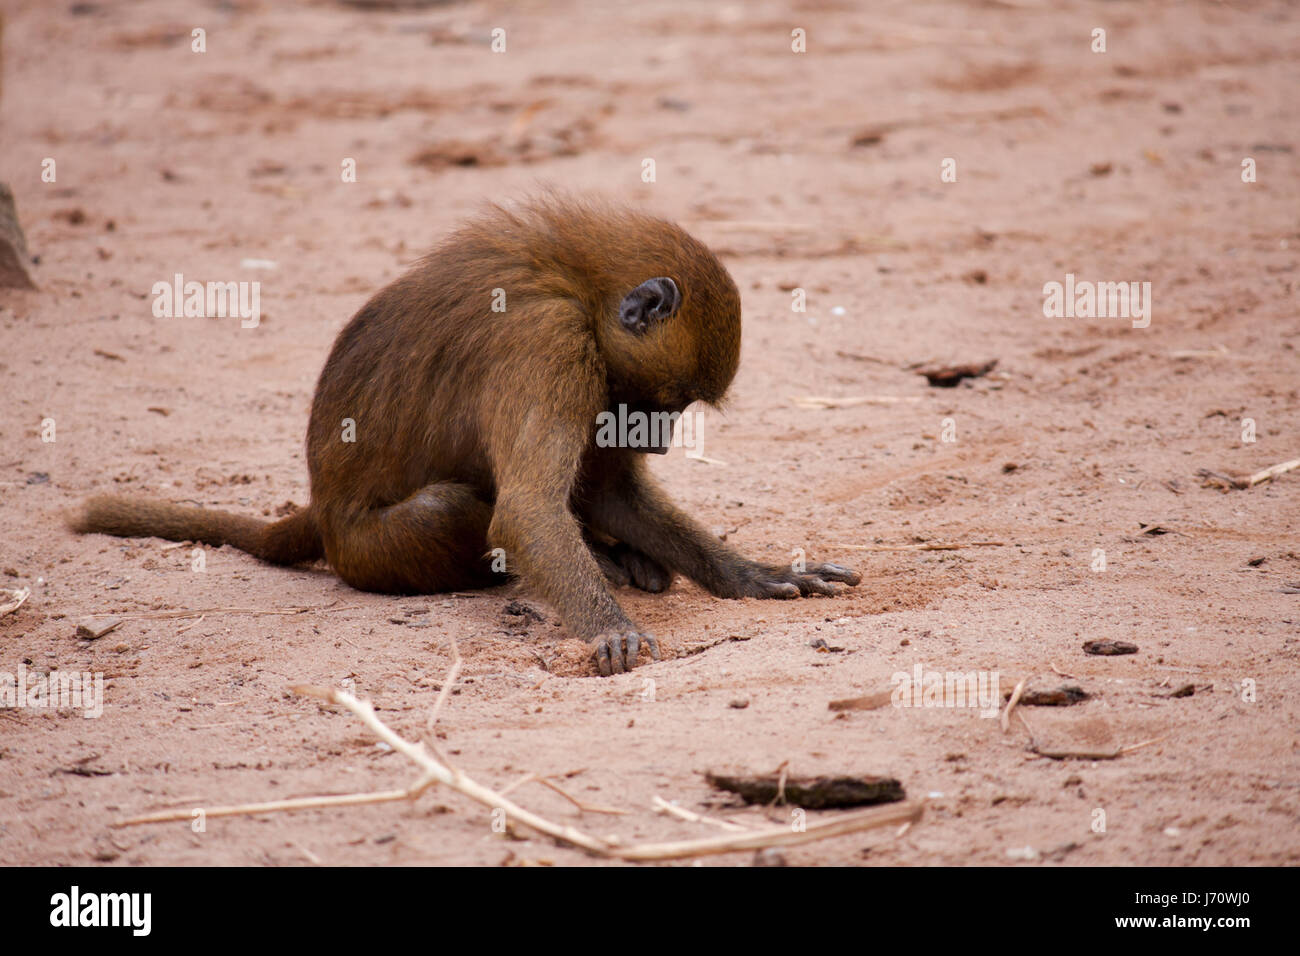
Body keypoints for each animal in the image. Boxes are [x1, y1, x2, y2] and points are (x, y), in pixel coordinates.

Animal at [71, 196, 861, 675]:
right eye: (668, 403)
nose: (660, 441)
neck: (579, 285)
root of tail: (321, 510)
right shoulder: (548, 342)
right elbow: (528, 511)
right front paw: (608, 626)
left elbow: (608, 493)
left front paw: (754, 576)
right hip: (370, 553)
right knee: (450, 507)